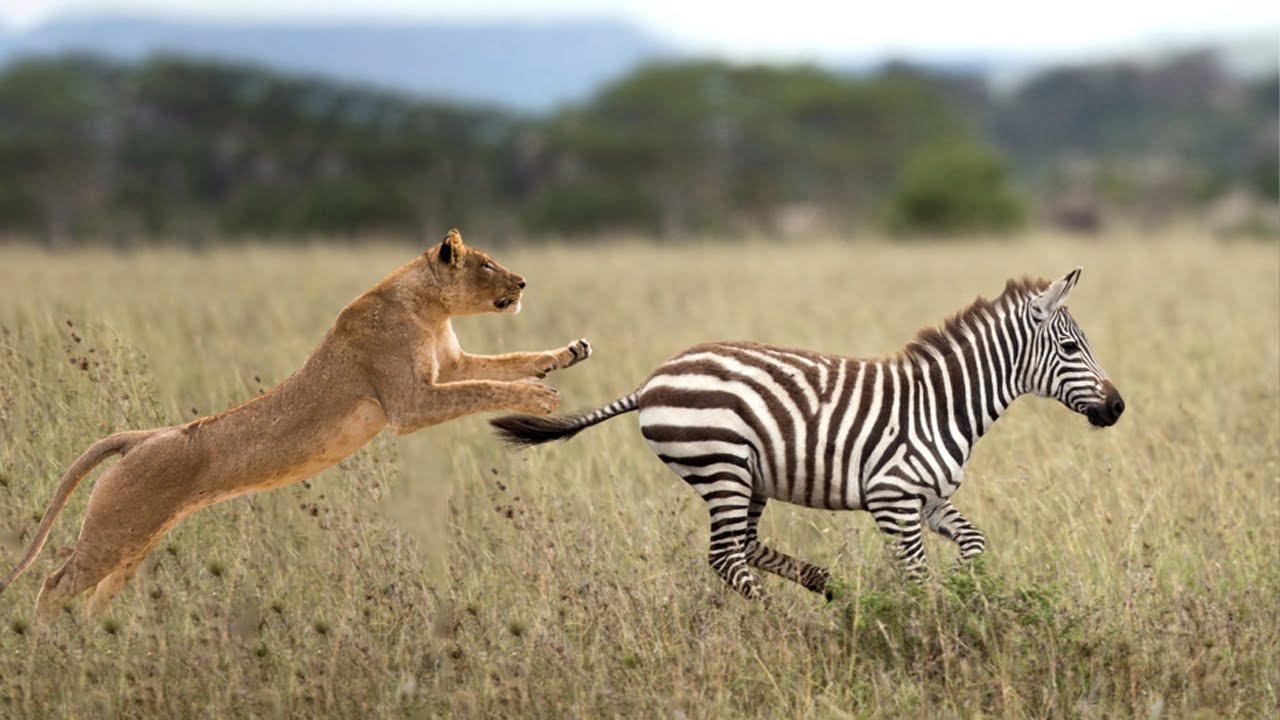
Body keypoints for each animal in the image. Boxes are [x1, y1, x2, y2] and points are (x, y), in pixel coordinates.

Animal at [0, 229, 591, 620]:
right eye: (486, 265)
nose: (523, 281)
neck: (429, 306)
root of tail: (144, 436)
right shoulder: (410, 403)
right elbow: (485, 387)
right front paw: (538, 396)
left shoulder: (450, 365)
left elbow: (505, 361)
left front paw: (567, 354)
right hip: (114, 532)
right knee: (55, 581)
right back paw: (48, 648)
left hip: (134, 544)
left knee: (92, 594)